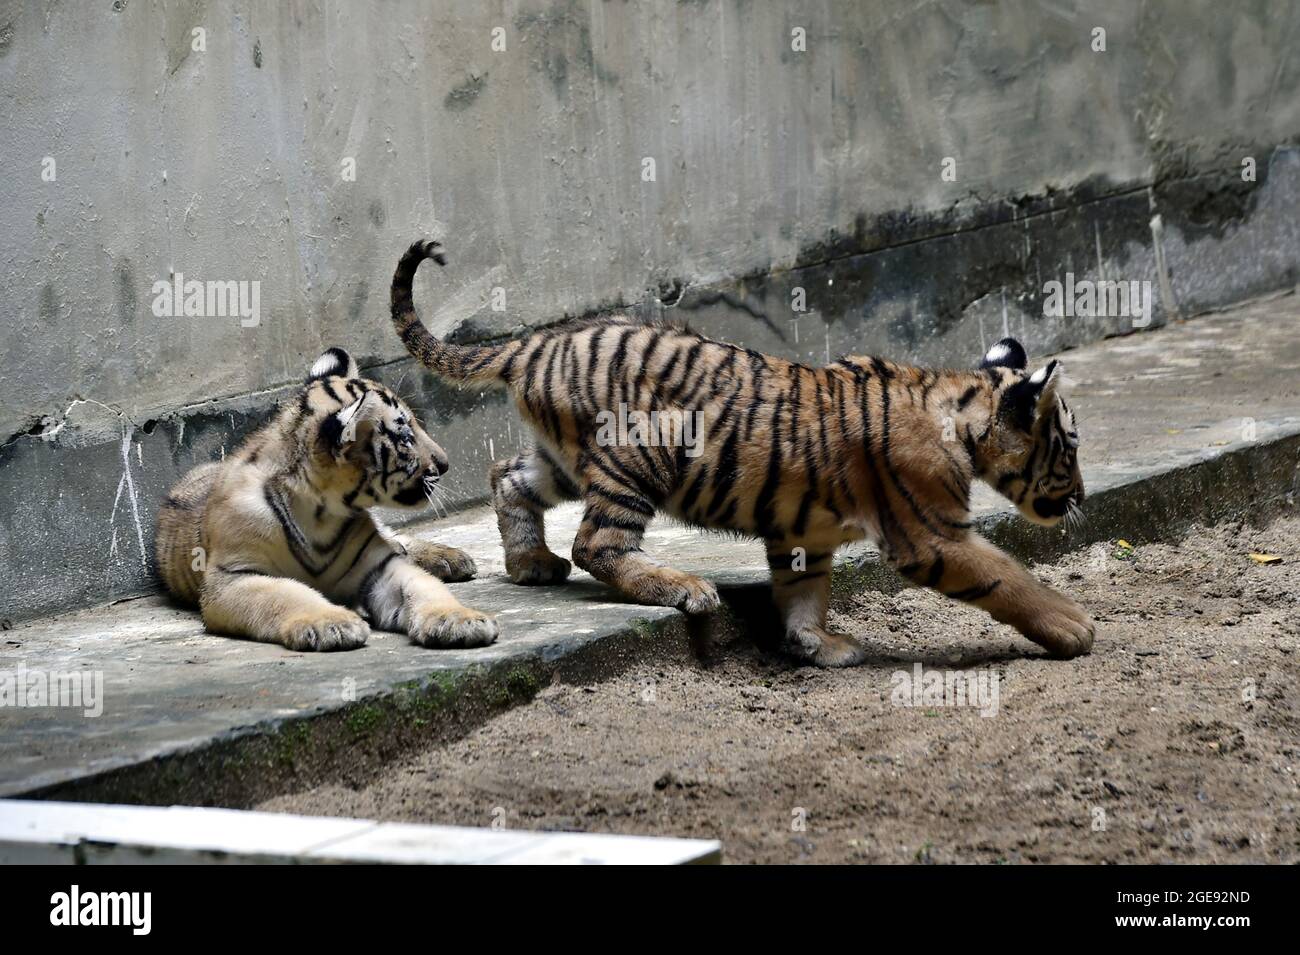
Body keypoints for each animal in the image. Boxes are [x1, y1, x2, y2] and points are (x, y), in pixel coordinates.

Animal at [155, 346, 498, 652]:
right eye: (405, 437)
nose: (445, 463)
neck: (321, 512)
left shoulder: (379, 565)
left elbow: (424, 587)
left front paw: (460, 620)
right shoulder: (234, 576)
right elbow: (287, 595)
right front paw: (332, 624)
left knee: (398, 540)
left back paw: (450, 558)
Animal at [388, 238, 1093, 667]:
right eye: (1070, 446)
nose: (1082, 497)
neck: (960, 410)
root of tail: (534, 343)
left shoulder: (805, 527)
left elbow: (804, 589)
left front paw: (816, 644)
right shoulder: (931, 535)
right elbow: (1006, 576)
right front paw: (1072, 625)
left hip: (561, 459)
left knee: (508, 477)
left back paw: (532, 564)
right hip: (641, 455)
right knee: (598, 545)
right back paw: (683, 588)